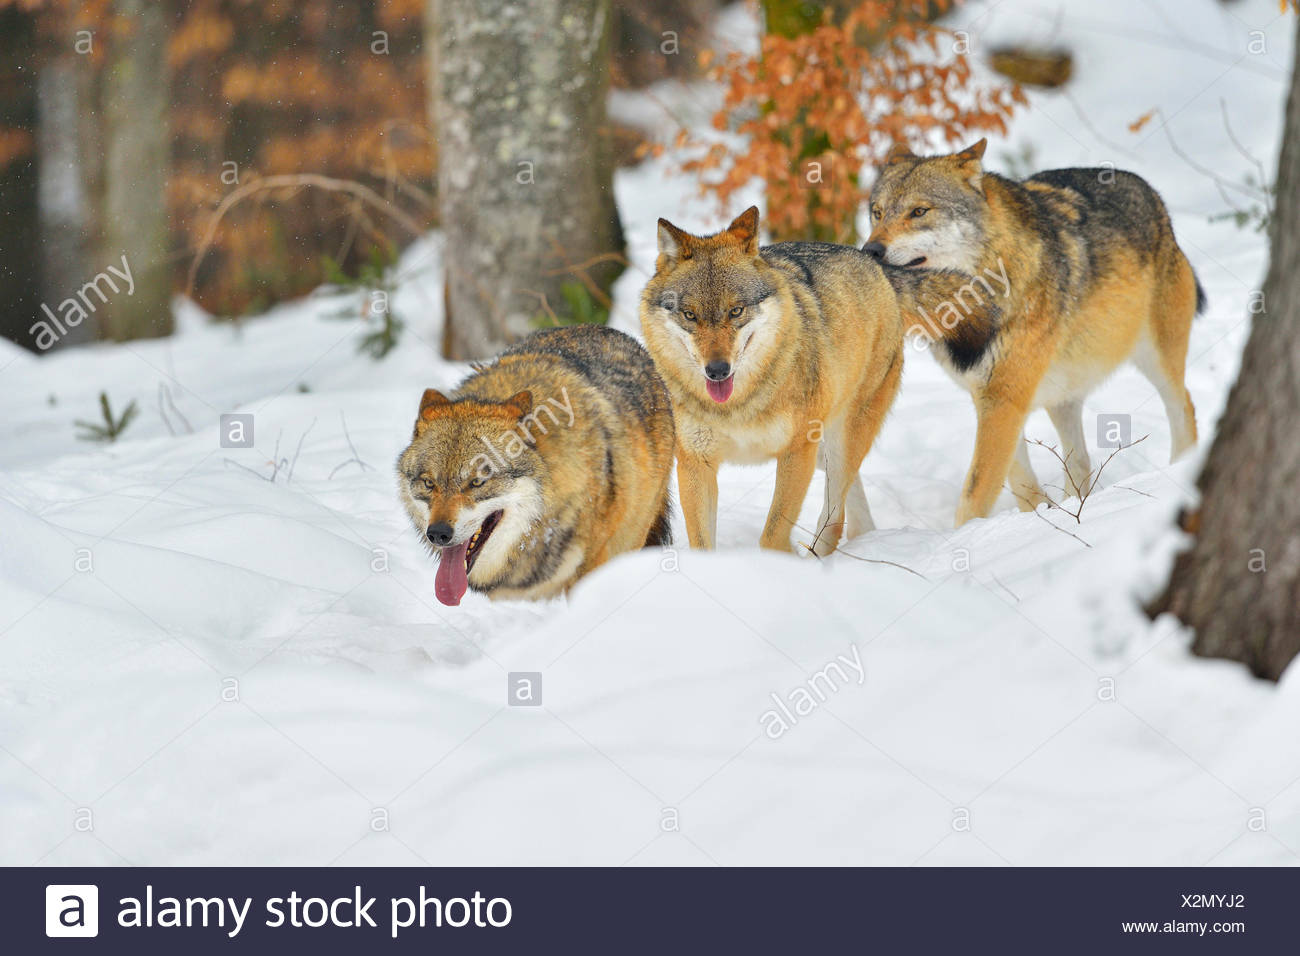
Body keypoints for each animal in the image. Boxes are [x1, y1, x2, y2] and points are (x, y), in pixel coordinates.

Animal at [640, 206, 904, 556]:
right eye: (690, 315)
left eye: (736, 311)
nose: (717, 370)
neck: (737, 406)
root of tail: (866, 259)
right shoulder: (695, 463)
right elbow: (702, 543)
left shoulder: (796, 452)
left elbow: (772, 535)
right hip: (824, 450)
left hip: (841, 437)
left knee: (835, 511)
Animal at [864, 139, 1203, 525]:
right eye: (877, 213)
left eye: (919, 211)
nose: (871, 250)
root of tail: (1149, 191)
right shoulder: (990, 398)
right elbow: (1018, 479)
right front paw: (1040, 513)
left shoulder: (1003, 399)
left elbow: (975, 493)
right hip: (1063, 396)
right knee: (1081, 461)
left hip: (1156, 360)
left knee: (1185, 407)